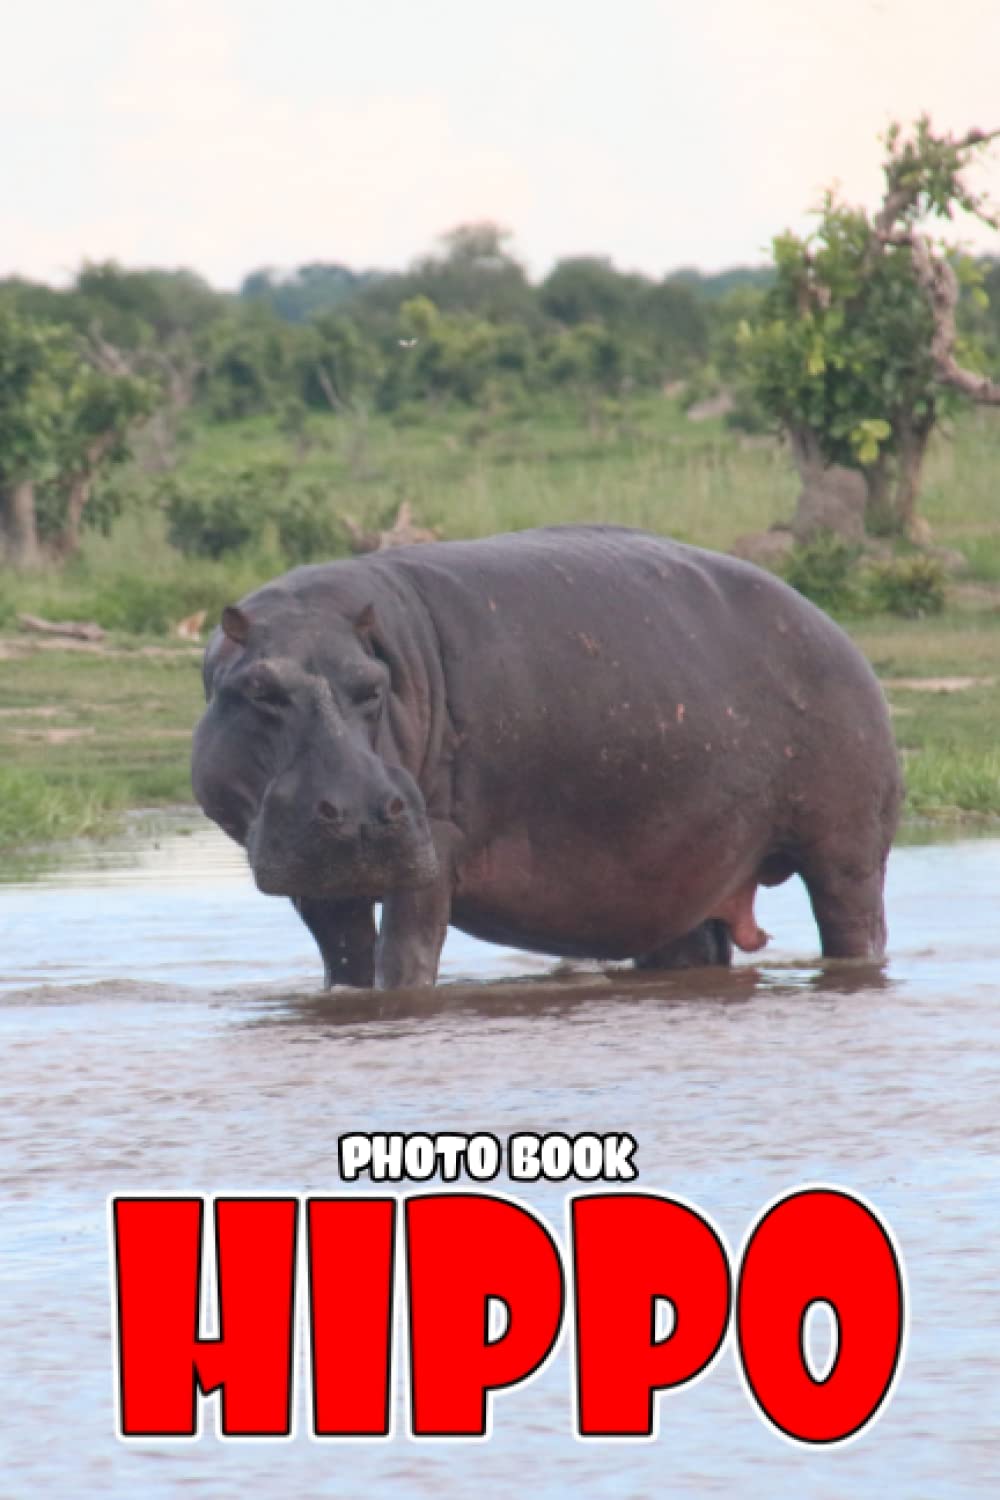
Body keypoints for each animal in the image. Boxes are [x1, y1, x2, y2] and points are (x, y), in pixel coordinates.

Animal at [191, 525, 901, 988]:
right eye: (259, 690)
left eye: (373, 685)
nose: (365, 812)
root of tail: (835, 629)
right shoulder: (316, 881)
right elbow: (346, 967)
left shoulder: (434, 847)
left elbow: (406, 963)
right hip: (681, 875)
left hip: (846, 851)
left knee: (854, 924)